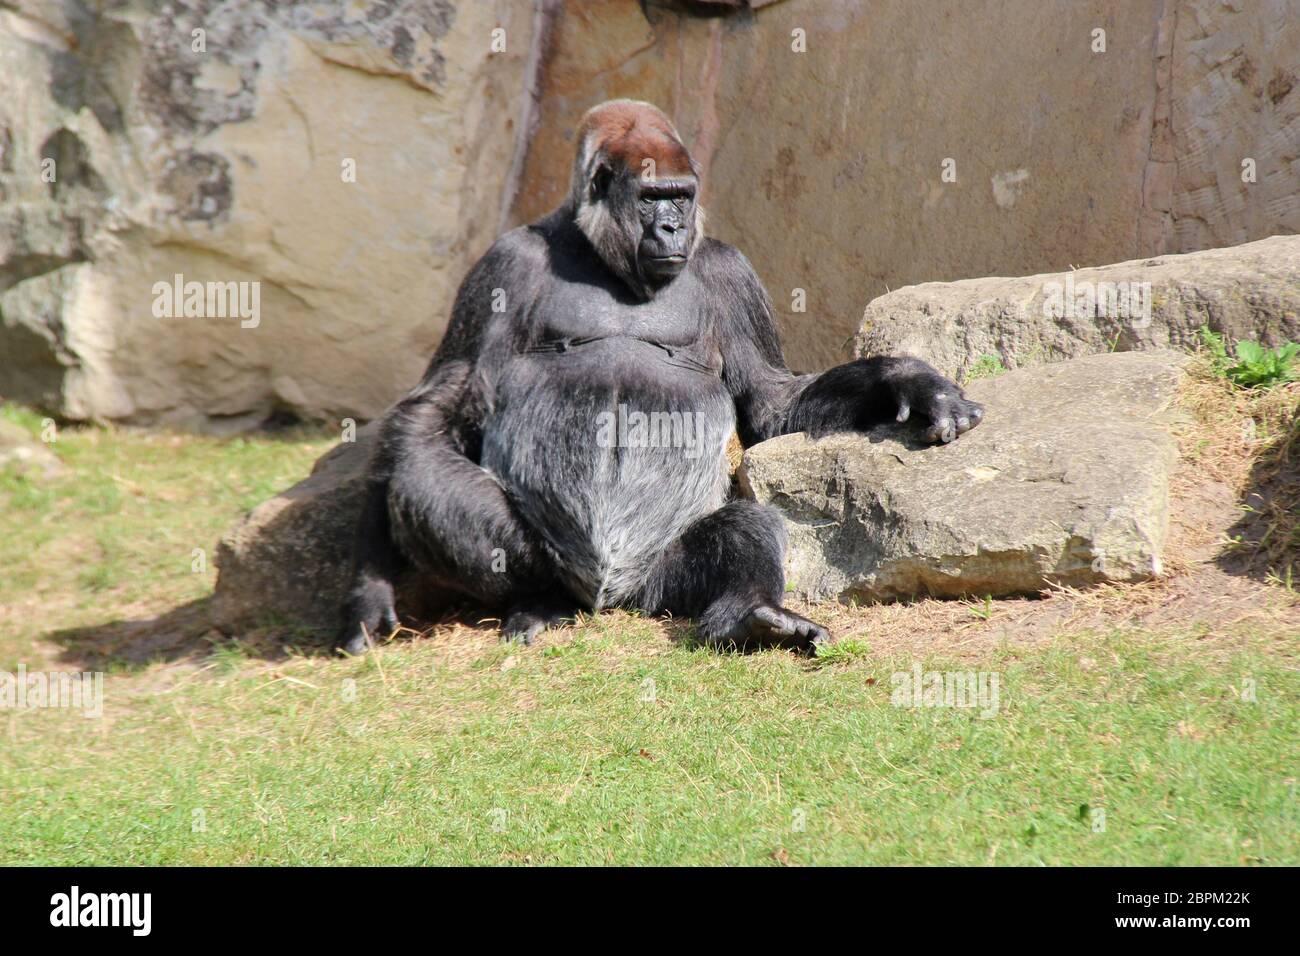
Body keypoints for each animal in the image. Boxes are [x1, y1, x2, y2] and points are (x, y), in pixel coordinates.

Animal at [337, 99, 983, 656]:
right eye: (651, 198)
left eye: (683, 196)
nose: (673, 229)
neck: (602, 254)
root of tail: (613, 594)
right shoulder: (502, 266)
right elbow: (439, 405)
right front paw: (367, 587)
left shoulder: (731, 271)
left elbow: (771, 402)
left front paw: (907, 381)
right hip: (556, 563)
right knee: (427, 481)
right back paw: (539, 601)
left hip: (661, 583)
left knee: (741, 528)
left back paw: (751, 613)